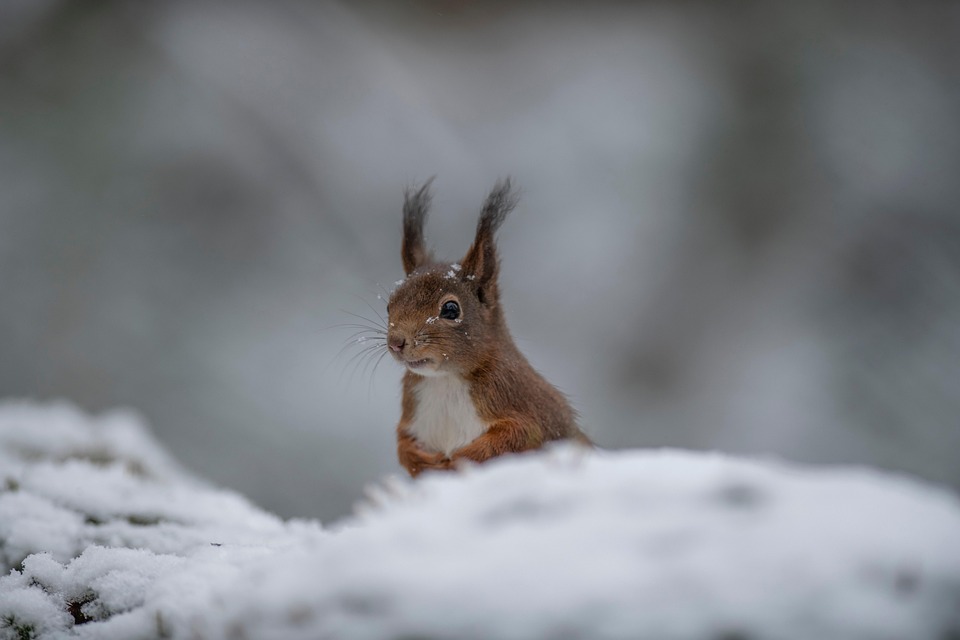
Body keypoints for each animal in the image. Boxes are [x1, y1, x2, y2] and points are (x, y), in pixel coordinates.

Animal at [386, 178, 591, 477]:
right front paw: (419, 460)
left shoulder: (527, 408)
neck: (445, 380)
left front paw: (460, 459)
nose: (396, 342)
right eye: (389, 305)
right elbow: (402, 443)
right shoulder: (411, 413)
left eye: (451, 309)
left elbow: (515, 437)